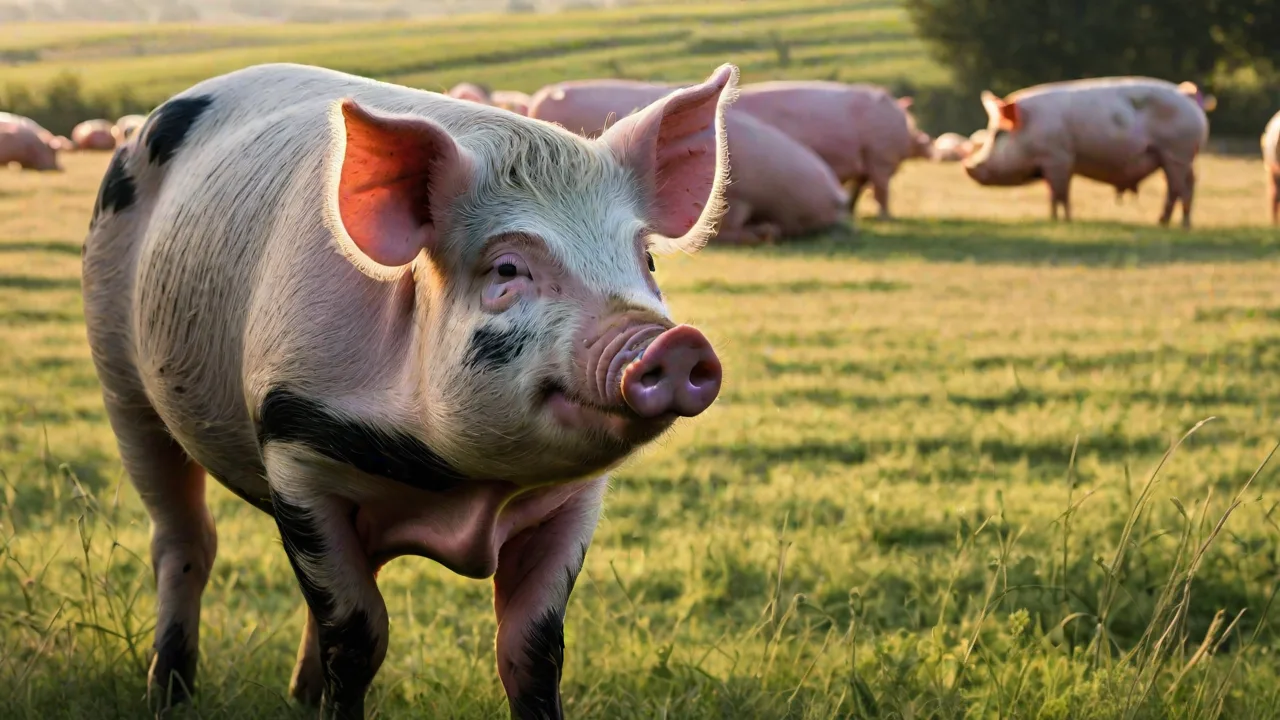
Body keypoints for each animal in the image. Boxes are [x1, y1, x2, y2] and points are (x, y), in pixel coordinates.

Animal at [81, 61, 735, 718]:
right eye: (506, 269)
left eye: (647, 261)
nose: (671, 340)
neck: (461, 486)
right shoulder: (294, 446)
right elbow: (358, 633)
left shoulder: (574, 500)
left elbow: (533, 646)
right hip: (119, 380)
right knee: (183, 540)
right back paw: (168, 695)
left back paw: (299, 698)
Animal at [728, 80, 931, 220]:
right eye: (924, 141)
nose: (927, 140)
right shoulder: (881, 159)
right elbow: (881, 190)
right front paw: (886, 217)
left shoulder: (867, 164)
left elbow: (857, 190)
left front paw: (852, 212)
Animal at [963, 77, 1210, 227]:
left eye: (999, 134)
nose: (969, 167)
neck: (1032, 125)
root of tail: (1186, 96)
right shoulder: (1060, 162)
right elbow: (1057, 193)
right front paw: (1057, 220)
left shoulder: (1057, 158)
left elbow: (1060, 193)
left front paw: (1061, 221)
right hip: (1183, 156)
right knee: (1188, 186)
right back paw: (1183, 225)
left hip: (1177, 151)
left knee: (1176, 188)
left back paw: (1163, 223)